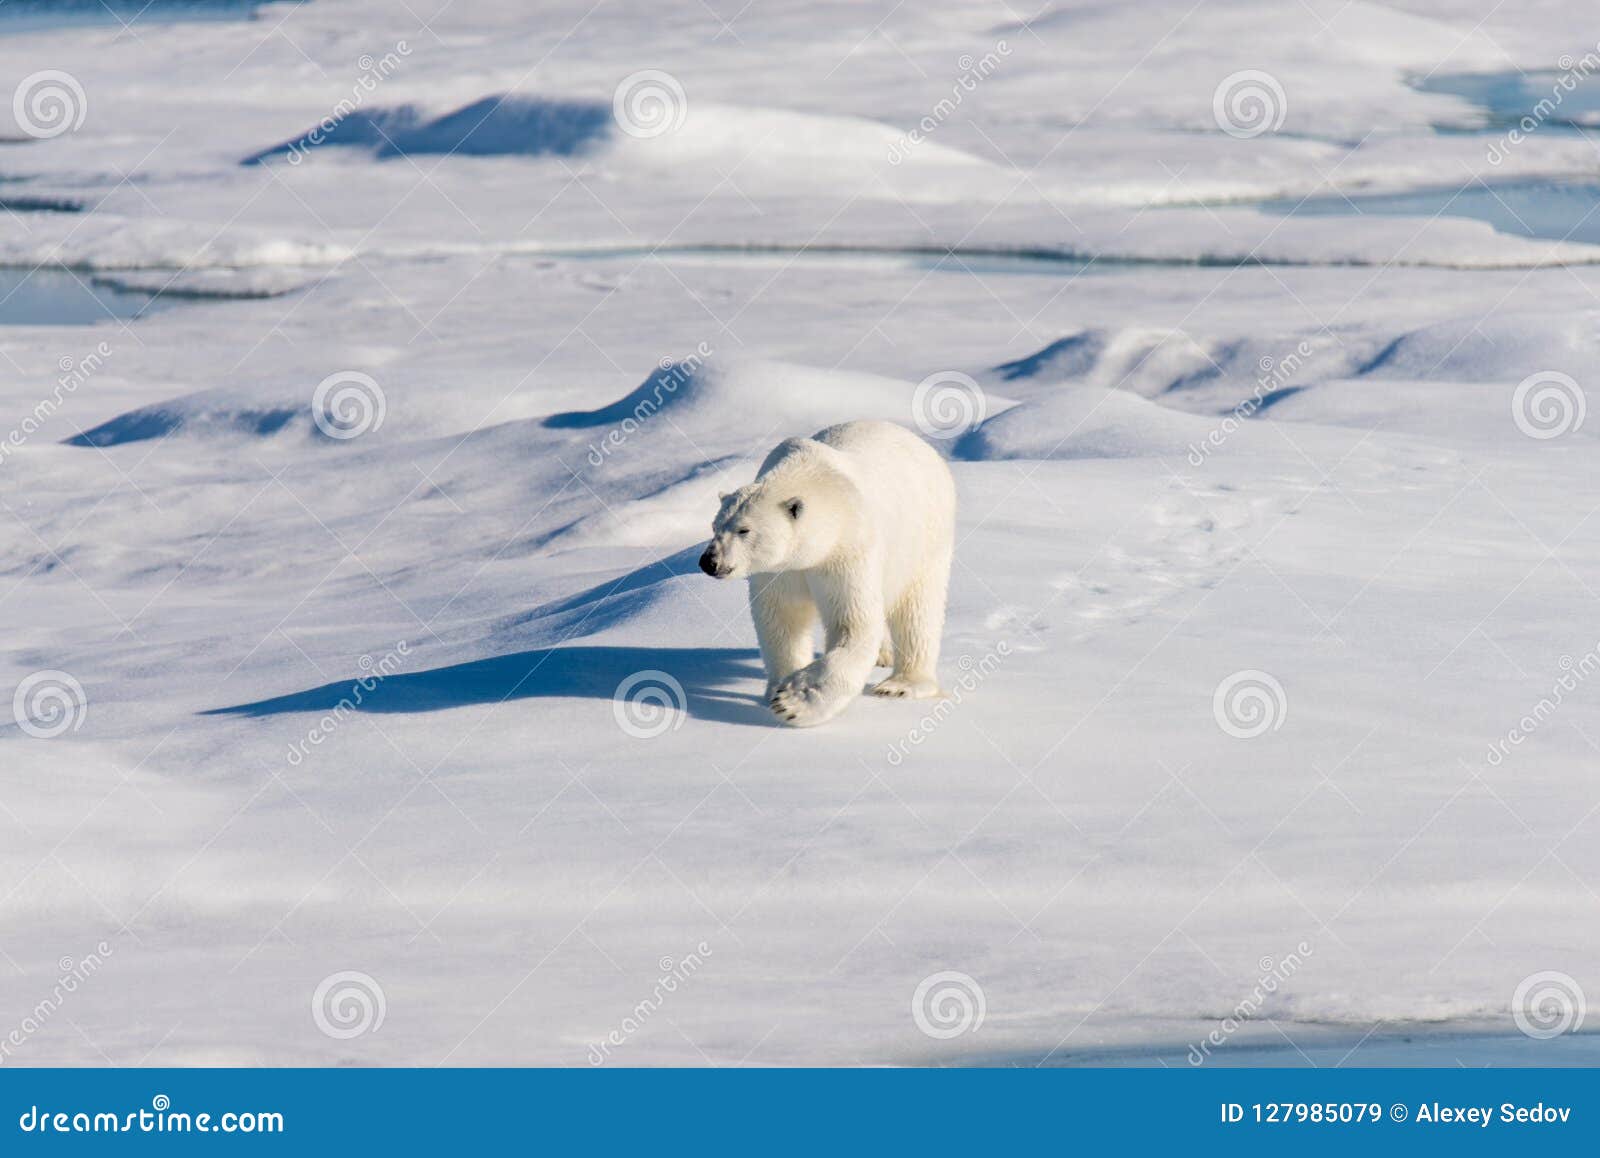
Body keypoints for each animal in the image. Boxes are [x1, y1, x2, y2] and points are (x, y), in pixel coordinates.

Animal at [698, 420, 956, 727]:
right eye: (714, 526)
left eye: (744, 530)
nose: (709, 561)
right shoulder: (781, 570)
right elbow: (781, 617)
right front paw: (775, 689)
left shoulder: (847, 549)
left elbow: (853, 623)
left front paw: (793, 701)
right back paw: (883, 655)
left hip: (926, 537)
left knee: (918, 610)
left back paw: (901, 684)